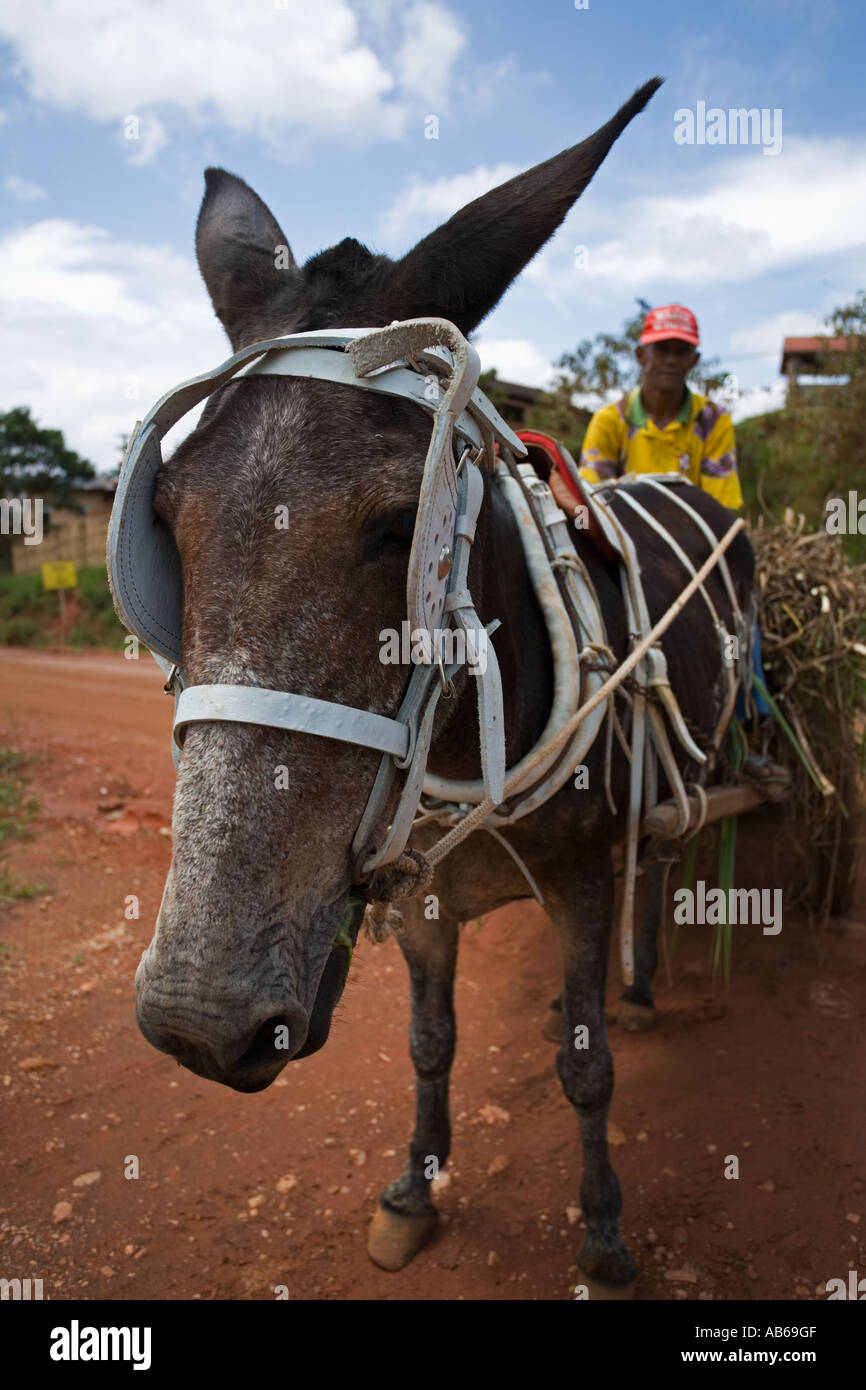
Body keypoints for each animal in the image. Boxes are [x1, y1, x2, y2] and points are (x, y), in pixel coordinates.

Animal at [129, 76, 755, 1297]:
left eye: (397, 524)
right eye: (166, 513)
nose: (197, 1018)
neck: (471, 745)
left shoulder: (576, 876)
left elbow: (585, 1068)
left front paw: (603, 1231)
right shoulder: (416, 895)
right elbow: (429, 1045)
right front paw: (413, 1190)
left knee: (667, 849)